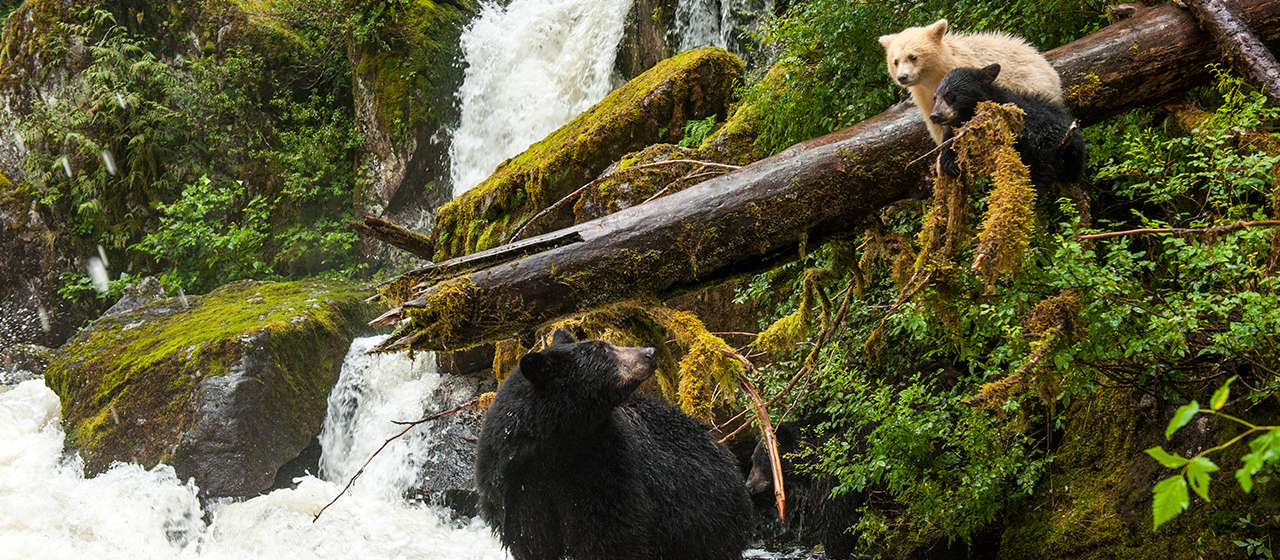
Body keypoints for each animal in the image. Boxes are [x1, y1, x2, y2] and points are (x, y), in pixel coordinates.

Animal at [475, 328, 753, 560]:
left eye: (606, 344)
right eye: (602, 351)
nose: (649, 352)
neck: (558, 441)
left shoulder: (605, 466)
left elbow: (610, 533)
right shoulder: (518, 489)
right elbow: (532, 539)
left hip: (703, 517)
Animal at [745, 415, 866, 560]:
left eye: (760, 461)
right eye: (753, 459)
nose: (749, 485)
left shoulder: (833, 475)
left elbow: (838, 517)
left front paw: (835, 551)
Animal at [878, 19, 1063, 145]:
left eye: (913, 57)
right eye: (895, 61)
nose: (902, 77)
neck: (936, 74)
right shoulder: (925, 96)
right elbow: (938, 125)